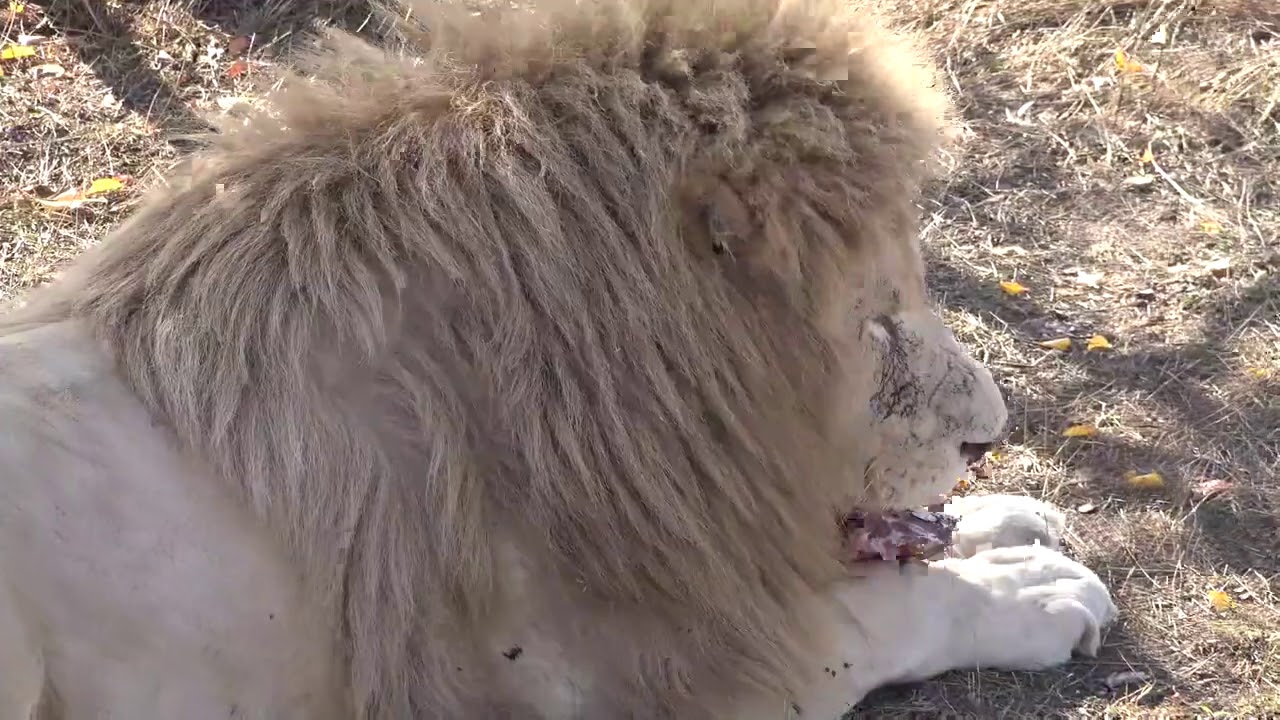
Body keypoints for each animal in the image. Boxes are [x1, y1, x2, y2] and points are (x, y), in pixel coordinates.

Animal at [0, 0, 1116, 717]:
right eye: (876, 323)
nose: (990, 439)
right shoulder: (629, 670)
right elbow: (892, 617)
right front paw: (1035, 593)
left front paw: (1007, 519)